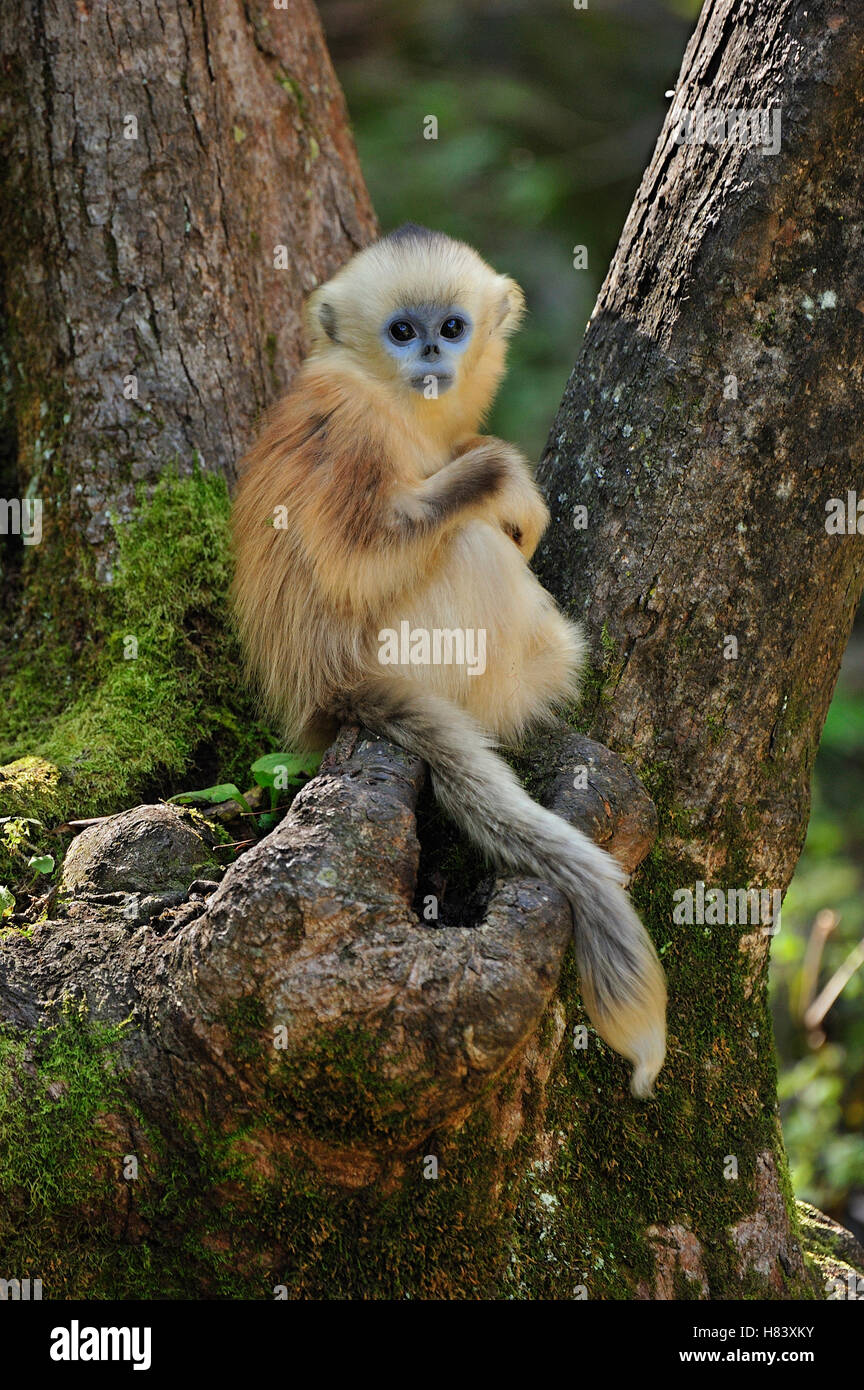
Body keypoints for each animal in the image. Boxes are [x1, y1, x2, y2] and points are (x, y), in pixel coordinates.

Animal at [231, 224, 666, 1097]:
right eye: (402, 331)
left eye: (452, 327)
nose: (431, 352)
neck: (393, 399)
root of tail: (337, 692)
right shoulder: (355, 427)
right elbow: (357, 556)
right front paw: (506, 475)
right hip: (414, 647)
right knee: (465, 541)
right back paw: (552, 662)